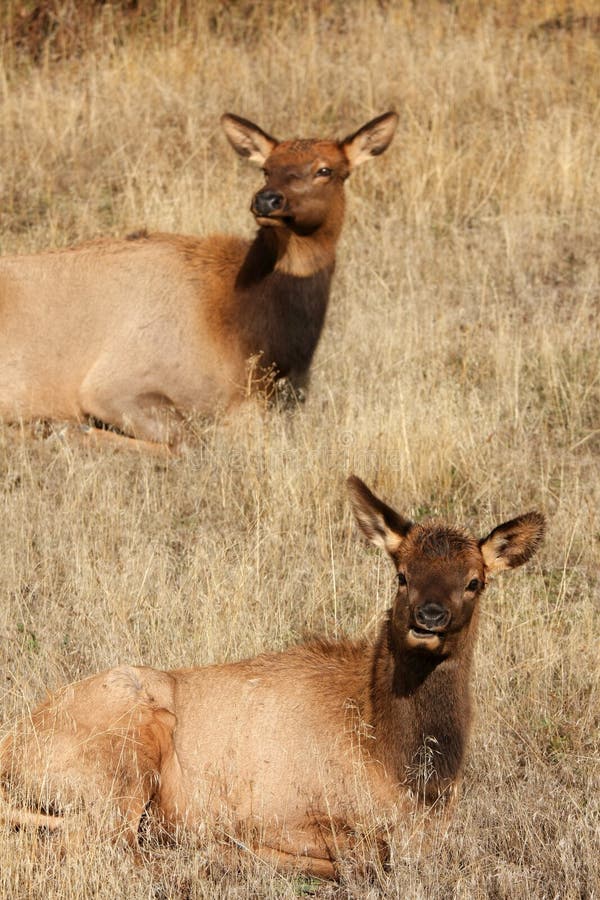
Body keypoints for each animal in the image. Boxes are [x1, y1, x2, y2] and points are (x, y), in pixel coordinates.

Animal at [0, 112, 398, 451]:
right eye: (266, 169)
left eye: (325, 170)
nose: (267, 200)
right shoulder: (111, 385)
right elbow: (191, 441)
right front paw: (61, 430)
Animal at [0, 476, 544, 877]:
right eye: (402, 574)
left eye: (474, 581)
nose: (429, 618)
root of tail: (11, 749)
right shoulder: (289, 812)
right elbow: (365, 854)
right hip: (126, 756)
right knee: (105, 844)